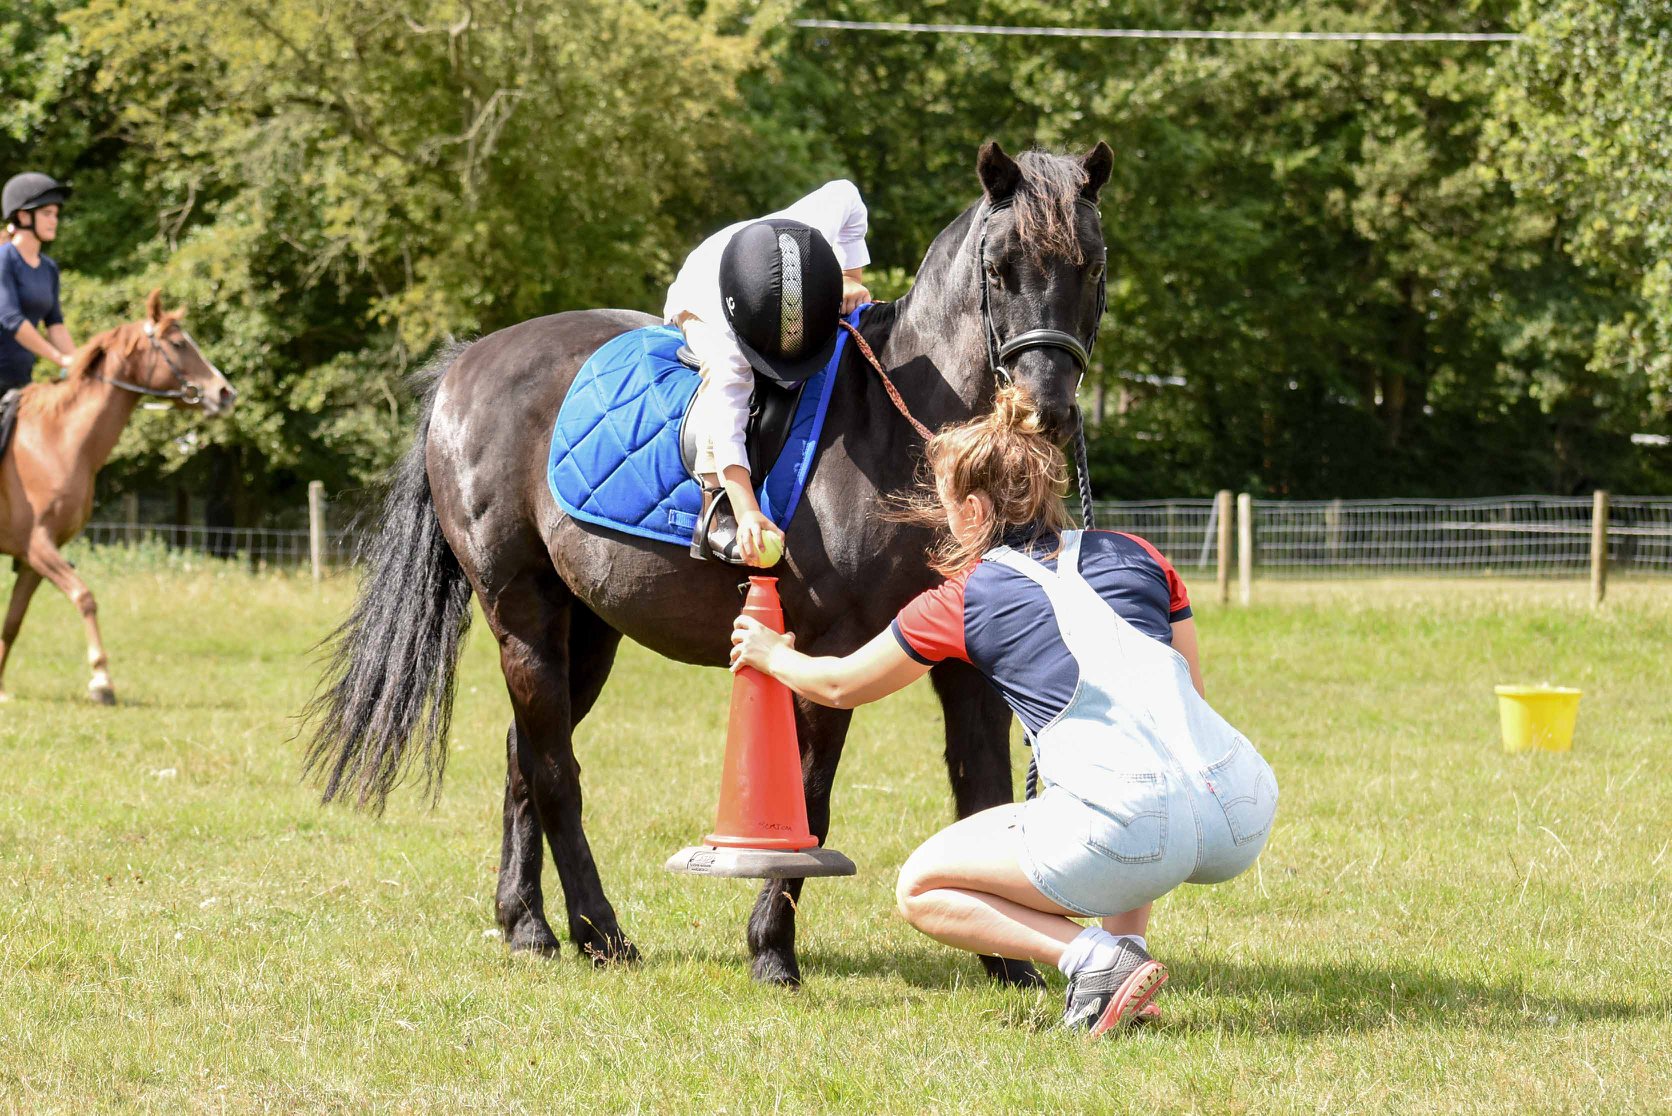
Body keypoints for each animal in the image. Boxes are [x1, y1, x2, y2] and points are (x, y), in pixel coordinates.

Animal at [0, 290, 236, 703]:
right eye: (179, 343)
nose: (225, 393)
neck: (58, 440)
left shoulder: (31, 560)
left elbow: (11, 623)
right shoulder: (38, 545)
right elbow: (85, 597)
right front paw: (101, 680)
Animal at [305, 141, 1112, 987]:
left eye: (1090, 265)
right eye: (999, 267)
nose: (1045, 411)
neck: (908, 436)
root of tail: (466, 365)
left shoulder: (961, 654)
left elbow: (983, 787)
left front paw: (1009, 962)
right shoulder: (828, 648)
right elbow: (810, 796)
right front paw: (772, 948)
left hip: (585, 629)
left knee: (525, 754)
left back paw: (527, 925)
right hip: (520, 613)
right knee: (554, 768)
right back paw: (599, 930)